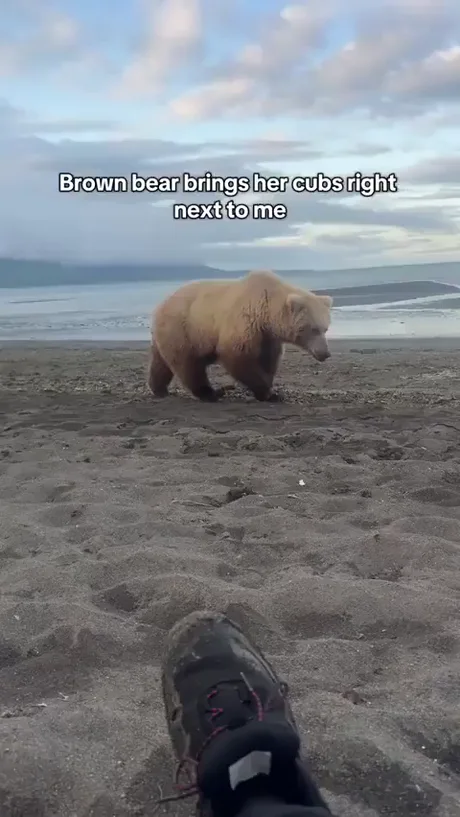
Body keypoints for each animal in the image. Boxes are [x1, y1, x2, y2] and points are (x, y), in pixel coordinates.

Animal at [147, 270, 332, 401]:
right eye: (313, 329)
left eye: (326, 328)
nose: (325, 353)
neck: (265, 312)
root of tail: (159, 306)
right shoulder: (244, 322)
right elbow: (237, 356)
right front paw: (269, 392)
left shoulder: (268, 336)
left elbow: (269, 359)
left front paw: (270, 388)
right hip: (184, 329)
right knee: (189, 364)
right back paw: (209, 393)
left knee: (161, 362)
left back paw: (159, 388)